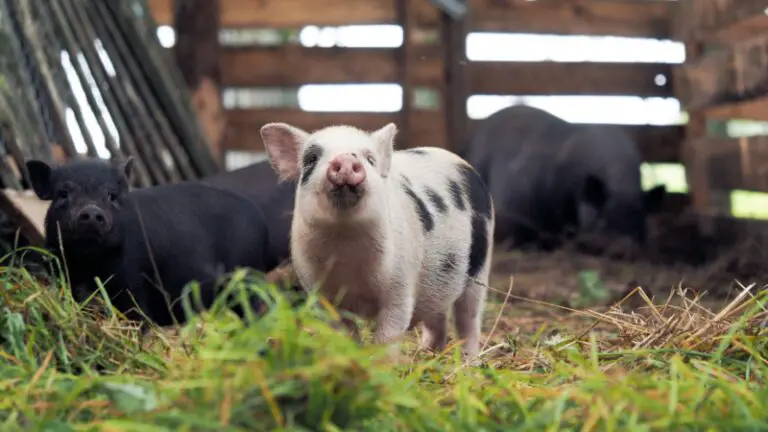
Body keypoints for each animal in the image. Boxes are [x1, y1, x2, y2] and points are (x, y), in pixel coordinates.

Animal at [25, 157, 272, 328]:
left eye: (111, 196)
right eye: (63, 193)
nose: (92, 212)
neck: (91, 264)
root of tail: (258, 215)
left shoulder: (133, 278)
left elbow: (137, 314)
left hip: (247, 274)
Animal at [260, 122, 495, 359]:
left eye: (370, 159)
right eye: (311, 158)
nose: (346, 159)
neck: (346, 246)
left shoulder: (400, 285)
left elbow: (388, 333)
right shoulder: (322, 295)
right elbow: (343, 332)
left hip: (480, 267)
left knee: (469, 319)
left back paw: (470, 361)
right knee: (438, 316)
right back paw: (427, 351)